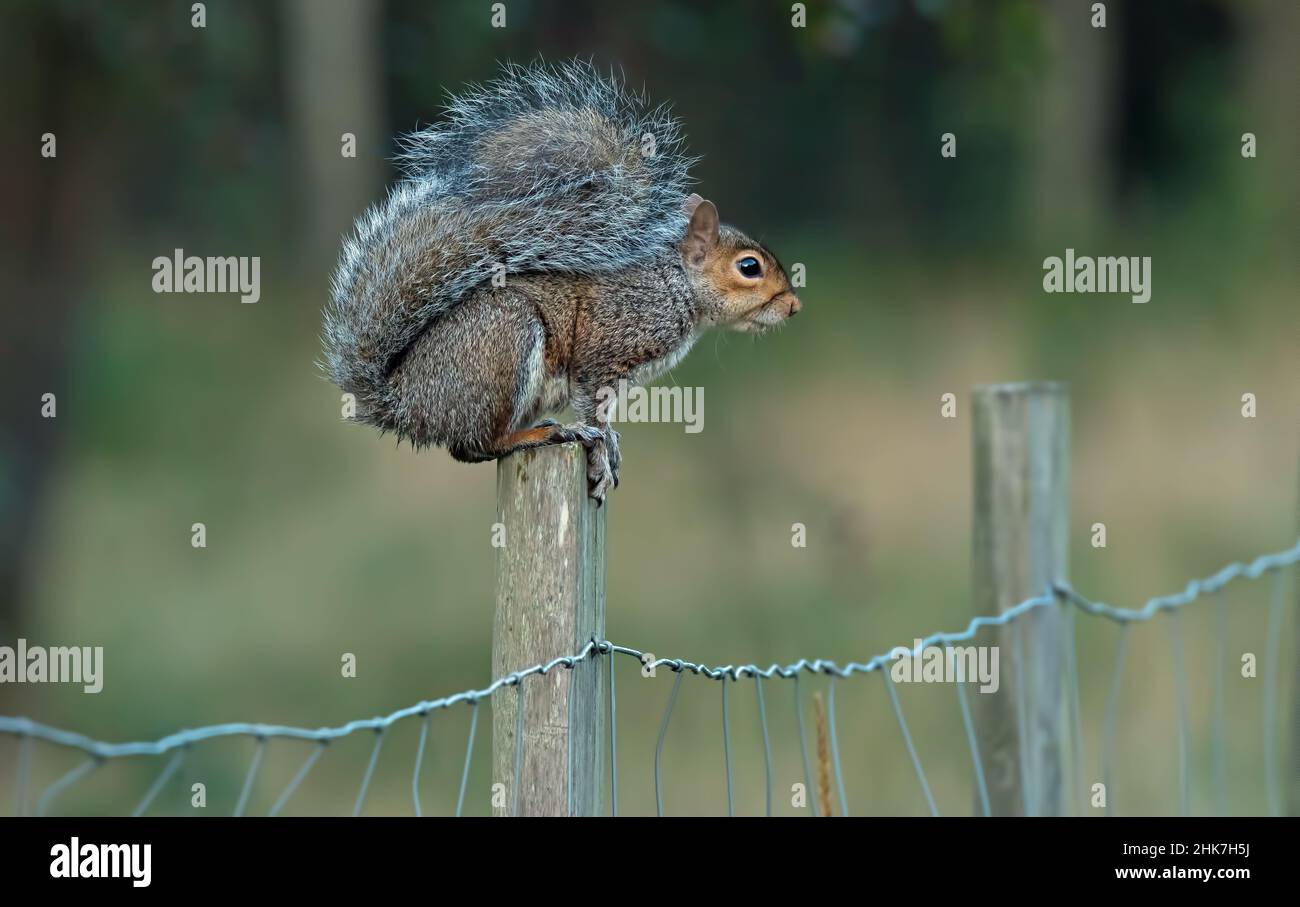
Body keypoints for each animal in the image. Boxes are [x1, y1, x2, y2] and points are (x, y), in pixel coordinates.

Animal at [321, 60, 801, 502]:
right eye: (749, 267)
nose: (794, 306)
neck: (675, 285)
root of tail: (403, 403)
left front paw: (612, 446)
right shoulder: (606, 347)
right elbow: (593, 409)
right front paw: (603, 453)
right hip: (505, 340)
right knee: (475, 444)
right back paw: (540, 435)